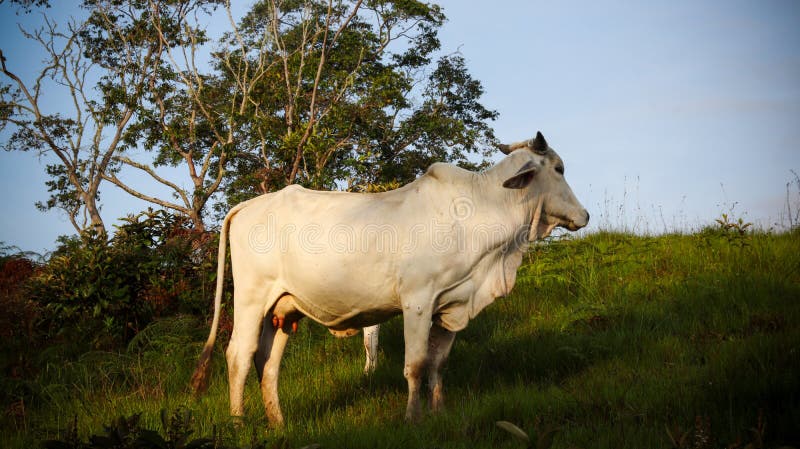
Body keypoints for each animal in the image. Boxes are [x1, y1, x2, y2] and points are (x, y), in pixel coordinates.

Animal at [190, 131, 589, 426]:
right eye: (559, 167)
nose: (584, 215)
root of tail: (250, 204)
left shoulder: (452, 305)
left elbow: (438, 364)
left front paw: (439, 411)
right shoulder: (417, 302)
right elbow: (415, 365)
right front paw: (413, 418)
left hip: (282, 310)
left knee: (268, 363)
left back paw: (279, 425)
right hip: (251, 300)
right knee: (239, 355)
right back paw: (239, 423)